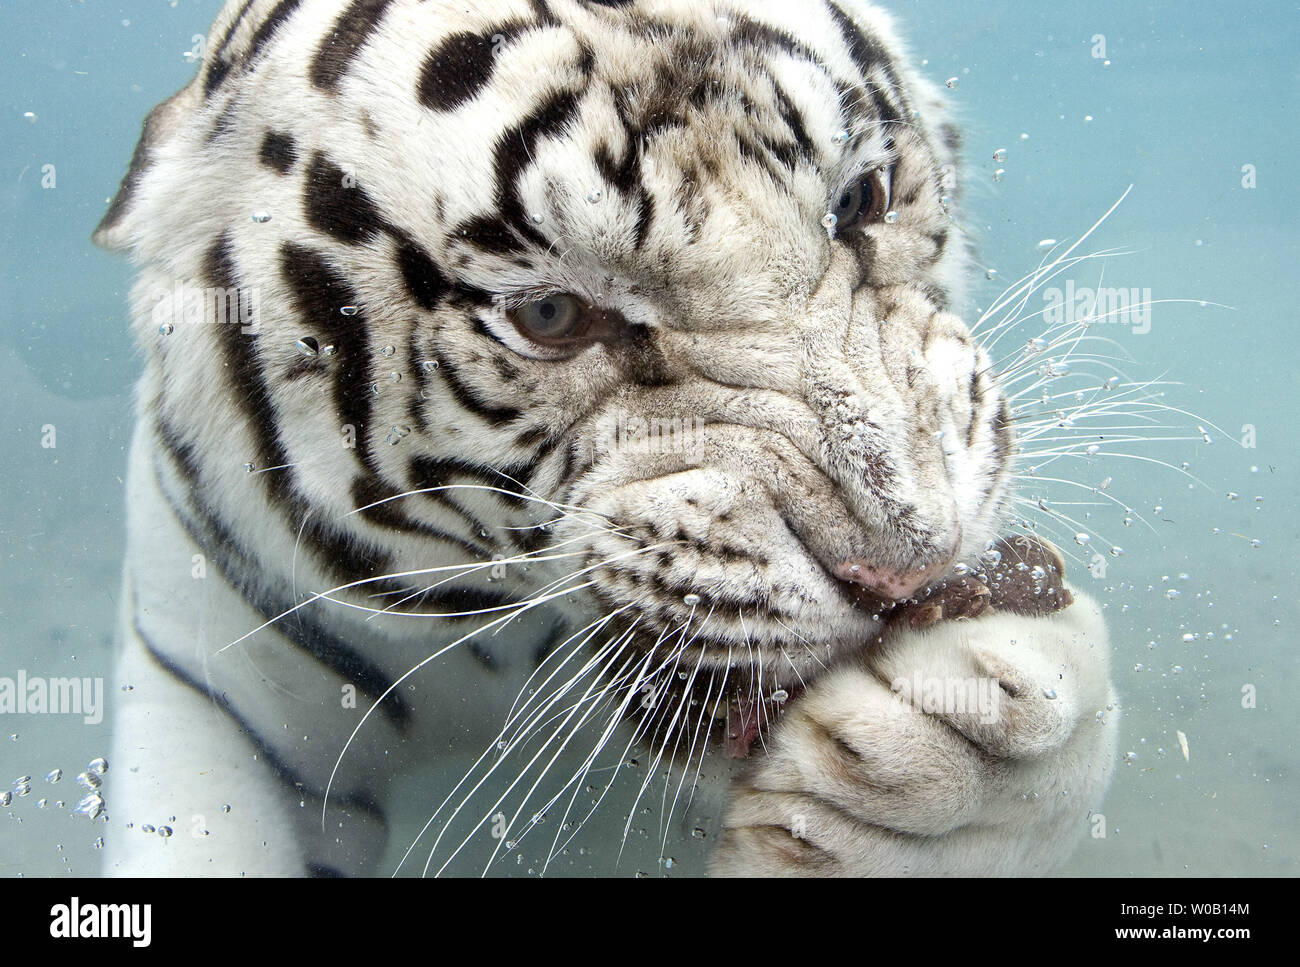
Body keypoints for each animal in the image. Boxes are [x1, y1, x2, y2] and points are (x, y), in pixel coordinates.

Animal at [95, 0, 1119, 877]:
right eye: (550, 315)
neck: (501, 629)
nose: (904, 572)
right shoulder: (212, 693)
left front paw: (967, 722)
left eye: (862, 199)